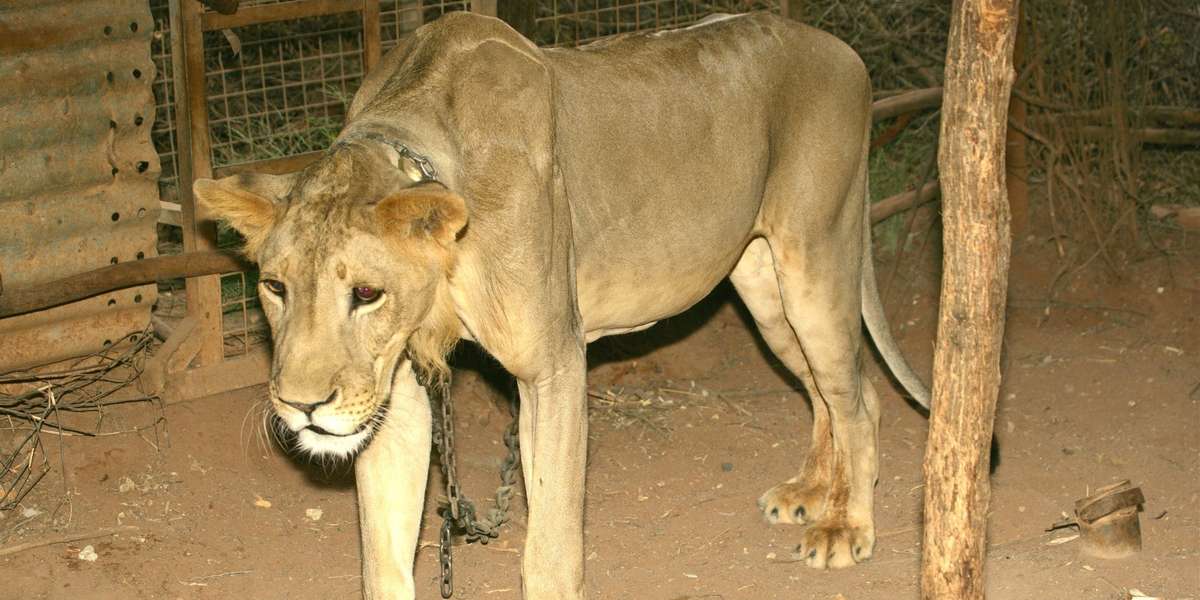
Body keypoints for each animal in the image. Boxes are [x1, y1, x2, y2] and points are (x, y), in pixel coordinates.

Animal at [194, 11, 930, 599]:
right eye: (275, 287)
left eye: (367, 294)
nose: (302, 406)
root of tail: (840, 49)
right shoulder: (392, 390)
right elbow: (384, 556)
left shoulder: (553, 366)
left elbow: (550, 550)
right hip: (763, 288)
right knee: (823, 391)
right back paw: (810, 493)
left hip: (816, 258)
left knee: (859, 398)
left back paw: (845, 525)